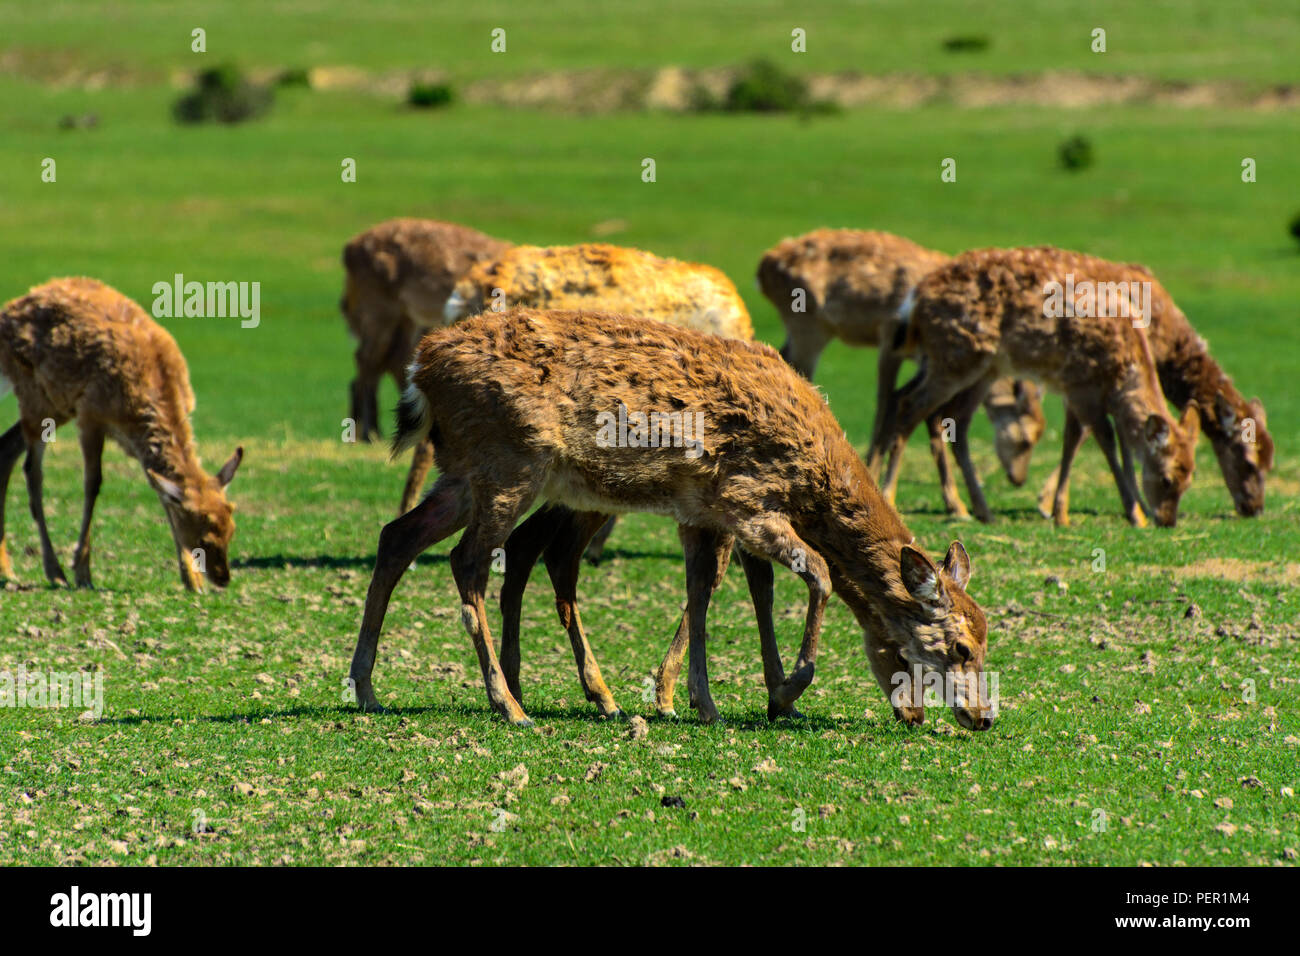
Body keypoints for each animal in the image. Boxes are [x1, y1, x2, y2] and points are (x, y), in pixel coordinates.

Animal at [0, 278, 243, 590]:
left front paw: (191, 580)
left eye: (231, 529)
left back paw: (7, 568)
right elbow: (92, 484)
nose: (223, 578)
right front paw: (82, 571)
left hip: (56, 404)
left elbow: (161, 491)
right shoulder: (91, 414)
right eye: (204, 537)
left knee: (6, 447)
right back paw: (54, 570)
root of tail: (7, 312)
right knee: (32, 471)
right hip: (33, 393)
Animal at [339, 218, 510, 506]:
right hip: (380, 308)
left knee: (385, 361)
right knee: (368, 360)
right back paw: (367, 432)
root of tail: (348, 248)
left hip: (402, 318)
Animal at [347, 308, 993, 732]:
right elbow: (818, 575)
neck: (814, 478)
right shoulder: (746, 500)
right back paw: (510, 705)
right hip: (510, 463)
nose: (982, 716)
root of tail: (420, 371)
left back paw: (367, 688)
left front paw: (704, 702)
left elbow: (710, 594)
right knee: (468, 561)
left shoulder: (702, 511)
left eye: (989, 637)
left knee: (399, 535)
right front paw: (783, 691)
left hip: (466, 473)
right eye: (960, 647)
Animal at [758, 229, 1046, 518]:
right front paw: (873, 478)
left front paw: (955, 503)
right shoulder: (889, 336)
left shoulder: (928, 361)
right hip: (808, 325)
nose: (1019, 480)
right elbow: (886, 402)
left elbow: (925, 415)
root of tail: (764, 266)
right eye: (1025, 440)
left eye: (1038, 437)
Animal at [868, 247, 1200, 528]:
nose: (1168, 521)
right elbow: (1104, 440)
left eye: (1190, 480)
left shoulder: (1077, 389)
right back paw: (892, 495)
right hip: (955, 356)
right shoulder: (1080, 383)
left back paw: (980, 510)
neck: (1122, 367)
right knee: (911, 406)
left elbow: (1082, 440)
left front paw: (1061, 512)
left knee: (953, 419)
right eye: (1167, 478)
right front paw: (1133, 514)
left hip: (983, 367)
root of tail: (914, 300)